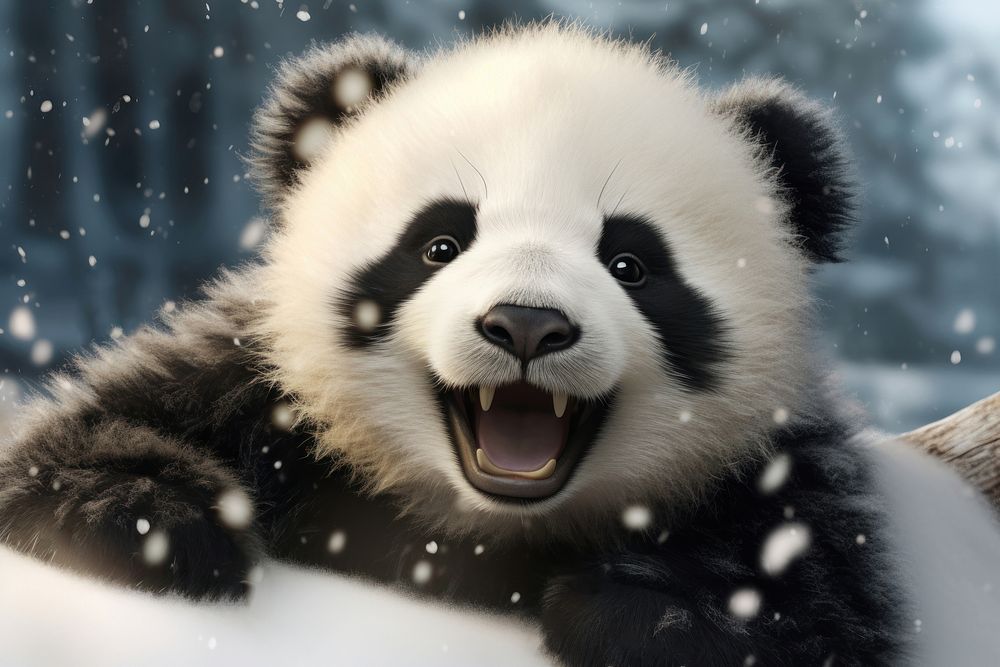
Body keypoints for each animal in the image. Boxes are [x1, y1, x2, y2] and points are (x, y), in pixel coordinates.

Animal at [0, 23, 913, 666]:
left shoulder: (781, 471)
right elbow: (60, 455)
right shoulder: (254, 380)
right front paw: (171, 524)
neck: (482, 526)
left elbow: (811, 611)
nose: (527, 324)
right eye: (440, 242)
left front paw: (634, 611)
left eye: (631, 263)